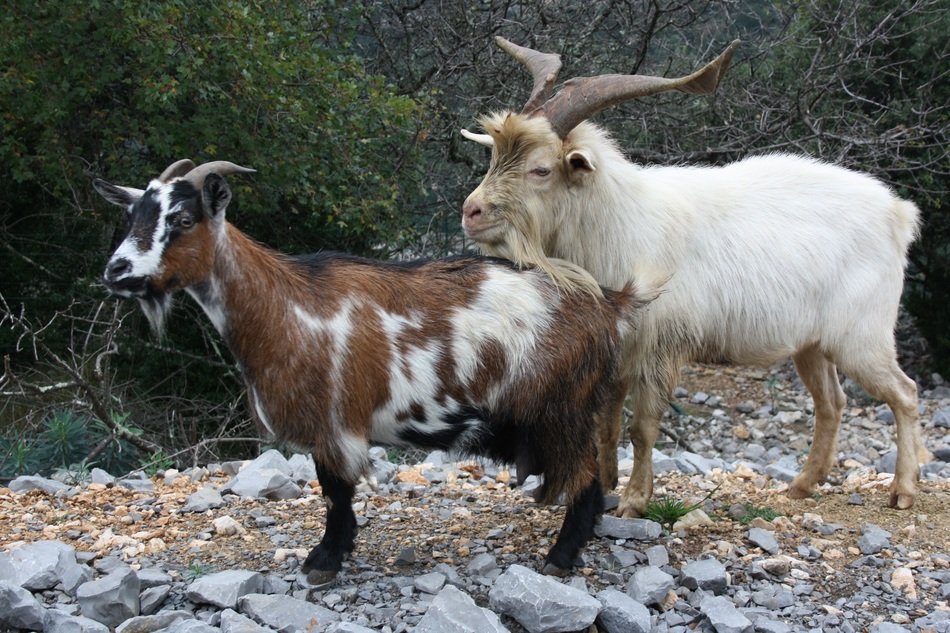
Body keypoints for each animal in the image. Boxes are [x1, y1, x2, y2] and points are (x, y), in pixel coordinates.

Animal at [95, 159, 650, 582]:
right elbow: (333, 491)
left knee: (588, 480)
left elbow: (335, 492)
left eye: (183, 219)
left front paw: (324, 561)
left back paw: (560, 558)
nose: (116, 271)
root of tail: (607, 302)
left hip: (563, 411)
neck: (285, 305)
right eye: (130, 216)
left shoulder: (335, 423)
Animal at [460, 37, 925, 518]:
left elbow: (642, 428)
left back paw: (903, 490)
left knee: (904, 393)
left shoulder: (661, 348)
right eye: (494, 155)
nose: (471, 212)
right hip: (812, 343)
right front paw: (605, 486)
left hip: (862, 336)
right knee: (832, 402)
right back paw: (803, 484)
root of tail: (897, 213)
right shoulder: (618, 352)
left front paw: (635, 500)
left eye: (541, 169)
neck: (619, 222)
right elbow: (607, 424)